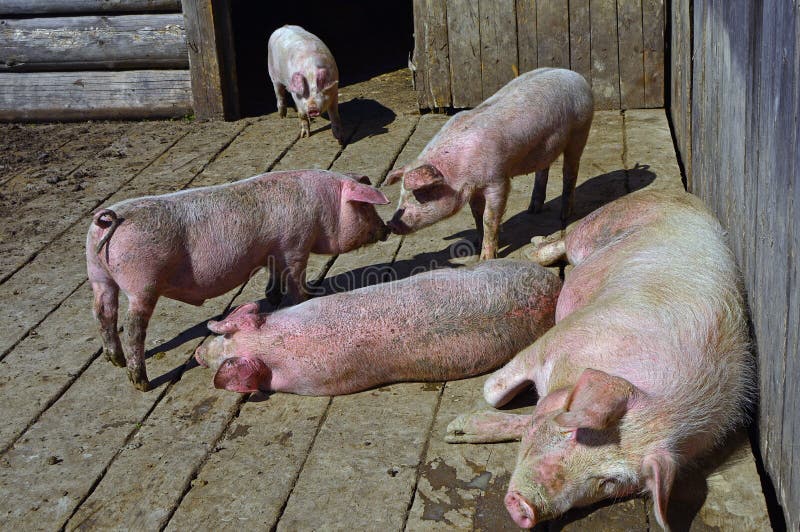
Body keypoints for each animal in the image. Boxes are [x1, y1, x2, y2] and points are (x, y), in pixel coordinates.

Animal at [86, 170, 389, 391]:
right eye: (364, 207)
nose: (386, 229)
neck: (324, 205)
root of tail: (108, 221)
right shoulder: (295, 245)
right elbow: (294, 279)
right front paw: (303, 297)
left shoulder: (272, 251)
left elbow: (274, 275)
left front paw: (272, 297)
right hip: (142, 283)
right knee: (133, 326)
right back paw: (142, 383)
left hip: (98, 275)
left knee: (103, 312)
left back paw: (114, 360)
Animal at [383, 68, 593, 260]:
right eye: (401, 196)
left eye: (419, 196)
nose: (390, 224)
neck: (457, 171)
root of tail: (576, 75)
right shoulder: (473, 187)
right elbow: (476, 214)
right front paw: (476, 243)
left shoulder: (497, 179)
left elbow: (489, 218)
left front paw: (486, 258)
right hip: (545, 148)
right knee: (543, 170)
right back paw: (532, 209)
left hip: (580, 131)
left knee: (570, 172)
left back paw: (564, 215)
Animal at [445, 189, 754, 530]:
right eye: (575, 433)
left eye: (608, 482)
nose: (525, 508)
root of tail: (683, 196)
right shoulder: (555, 339)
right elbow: (494, 392)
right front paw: (454, 429)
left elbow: (531, 415)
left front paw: (457, 431)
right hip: (601, 221)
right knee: (566, 238)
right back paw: (533, 248)